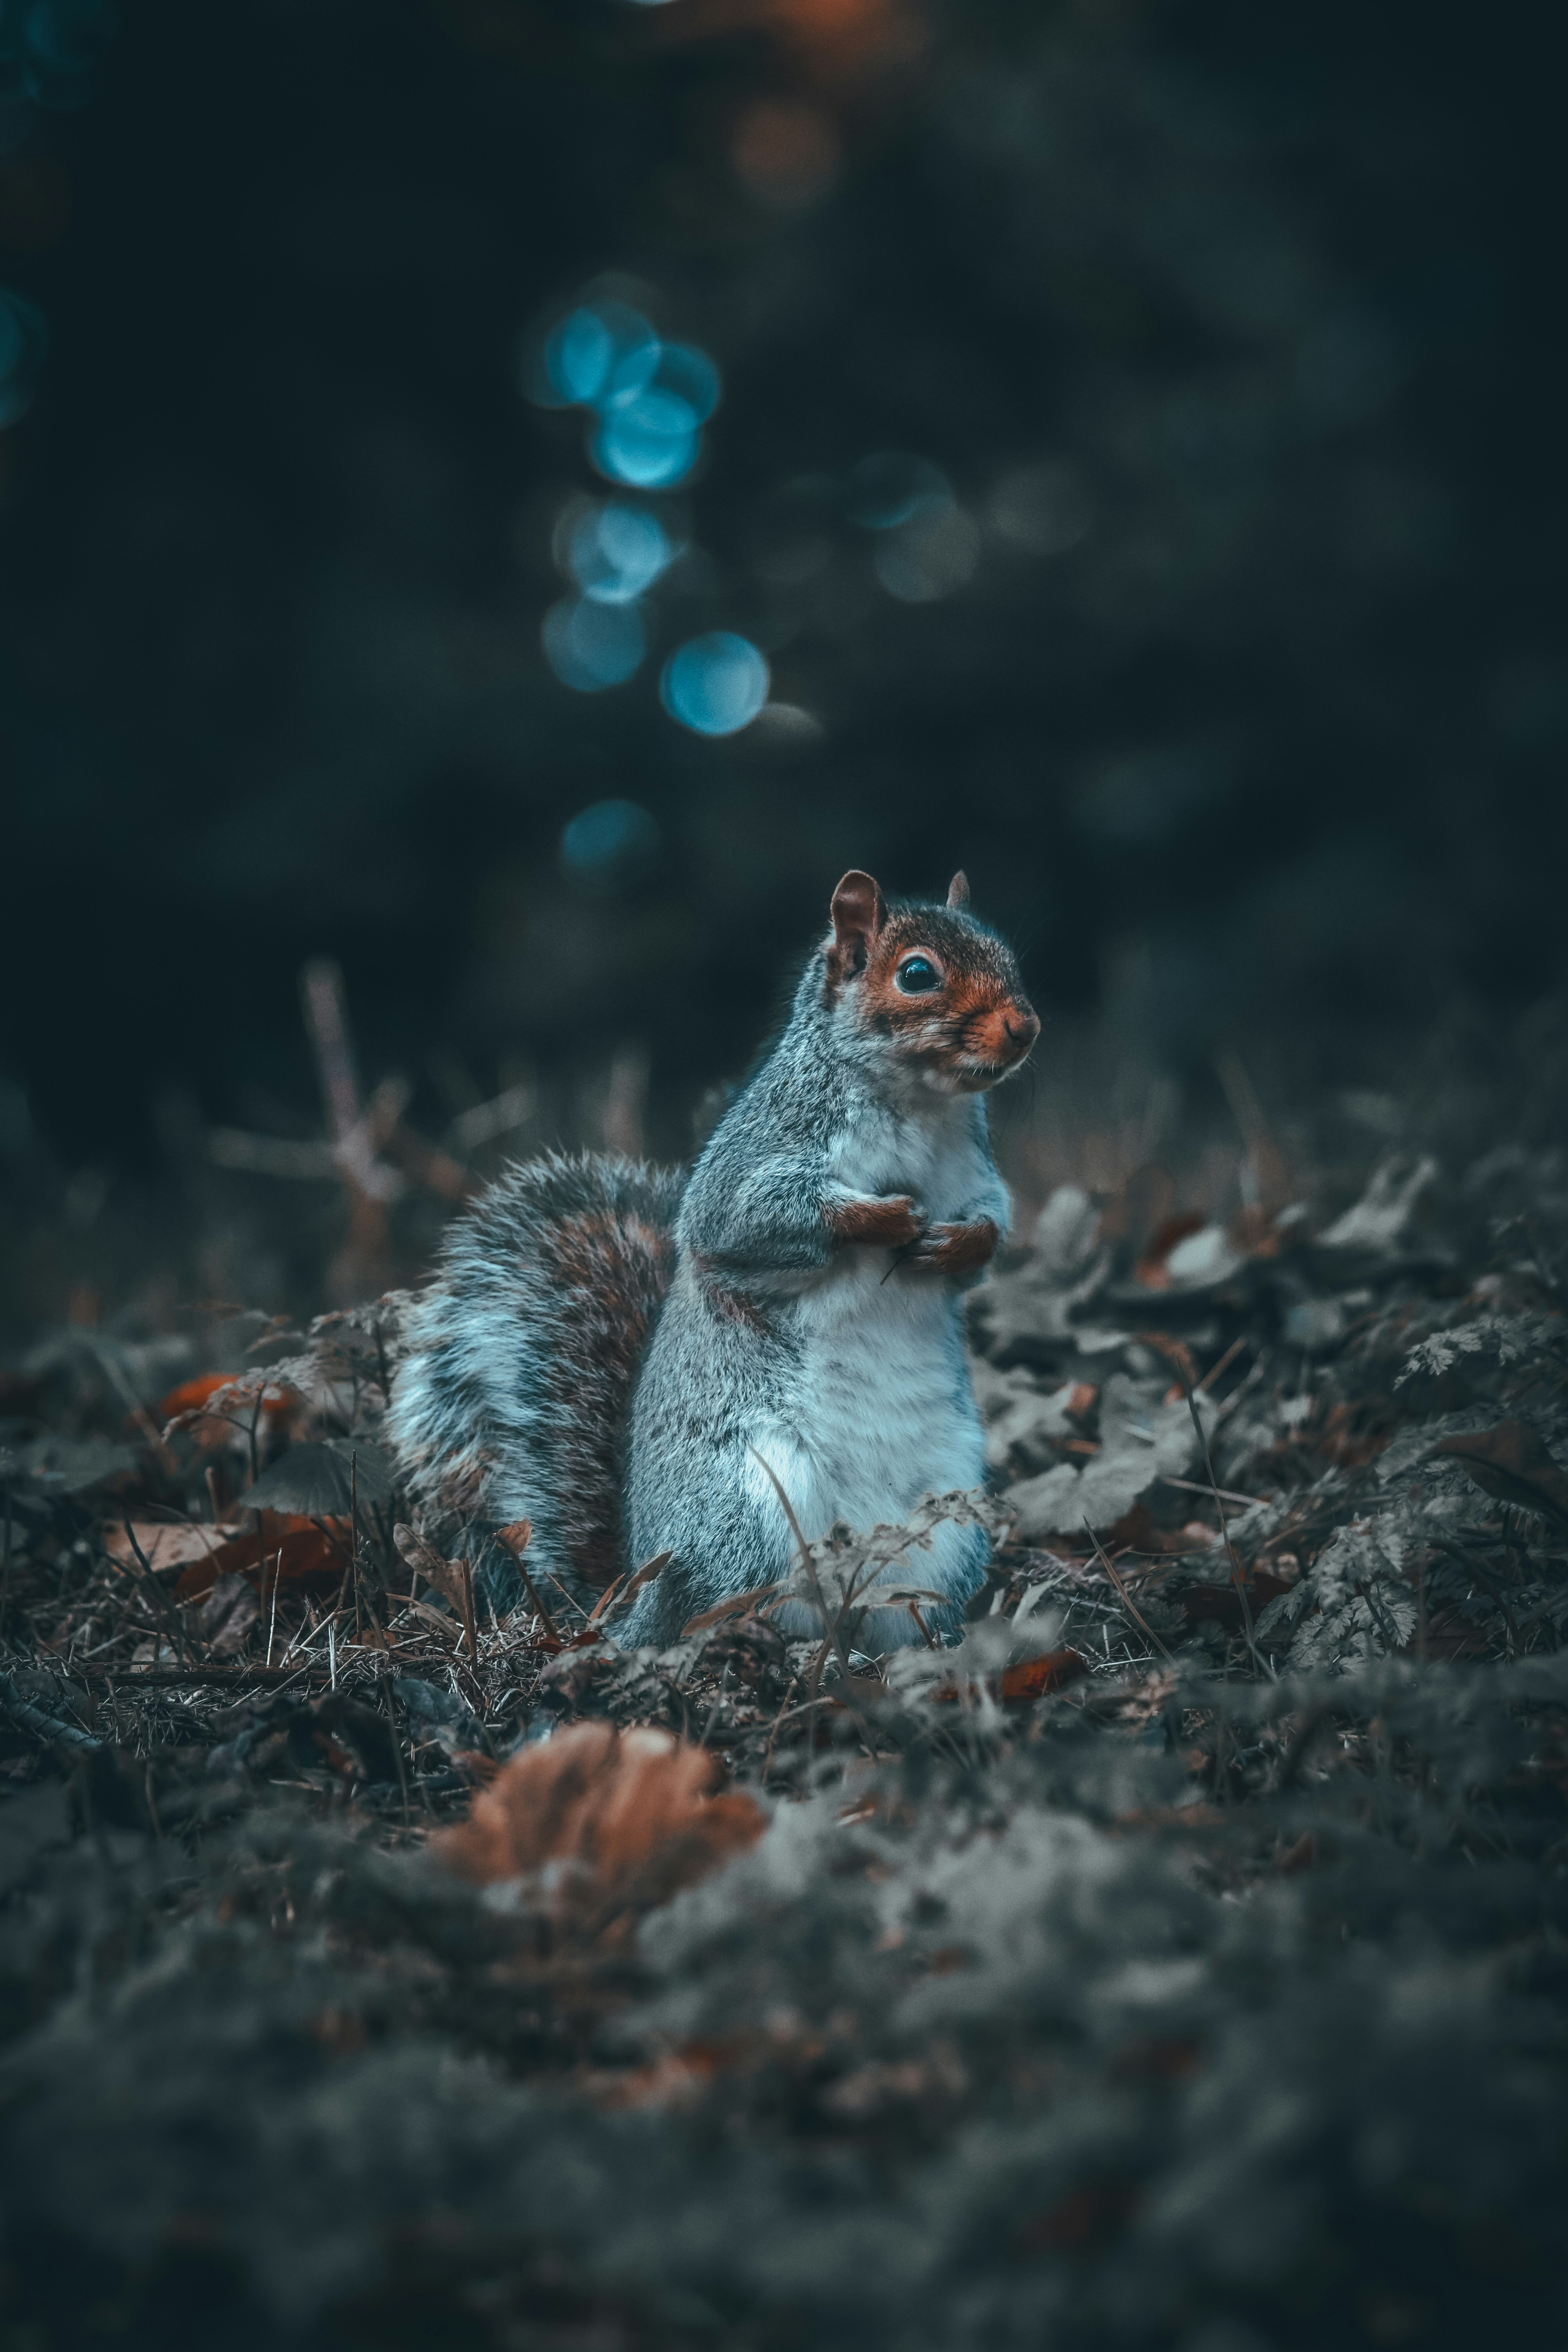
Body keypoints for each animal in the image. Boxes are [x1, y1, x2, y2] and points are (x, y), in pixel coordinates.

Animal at [388, 869, 1039, 1649]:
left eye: (1007, 955)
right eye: (917, 974)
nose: (1026, 1026)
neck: (919, 1105)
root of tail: (633, 1596)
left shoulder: (977, 1176)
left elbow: (986, 1237)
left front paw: (957, 1243)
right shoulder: (756, 1160)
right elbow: (744, 1222)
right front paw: (885, 1217)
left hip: (945, 1521)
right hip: (745, 1502)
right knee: (720, 1604)